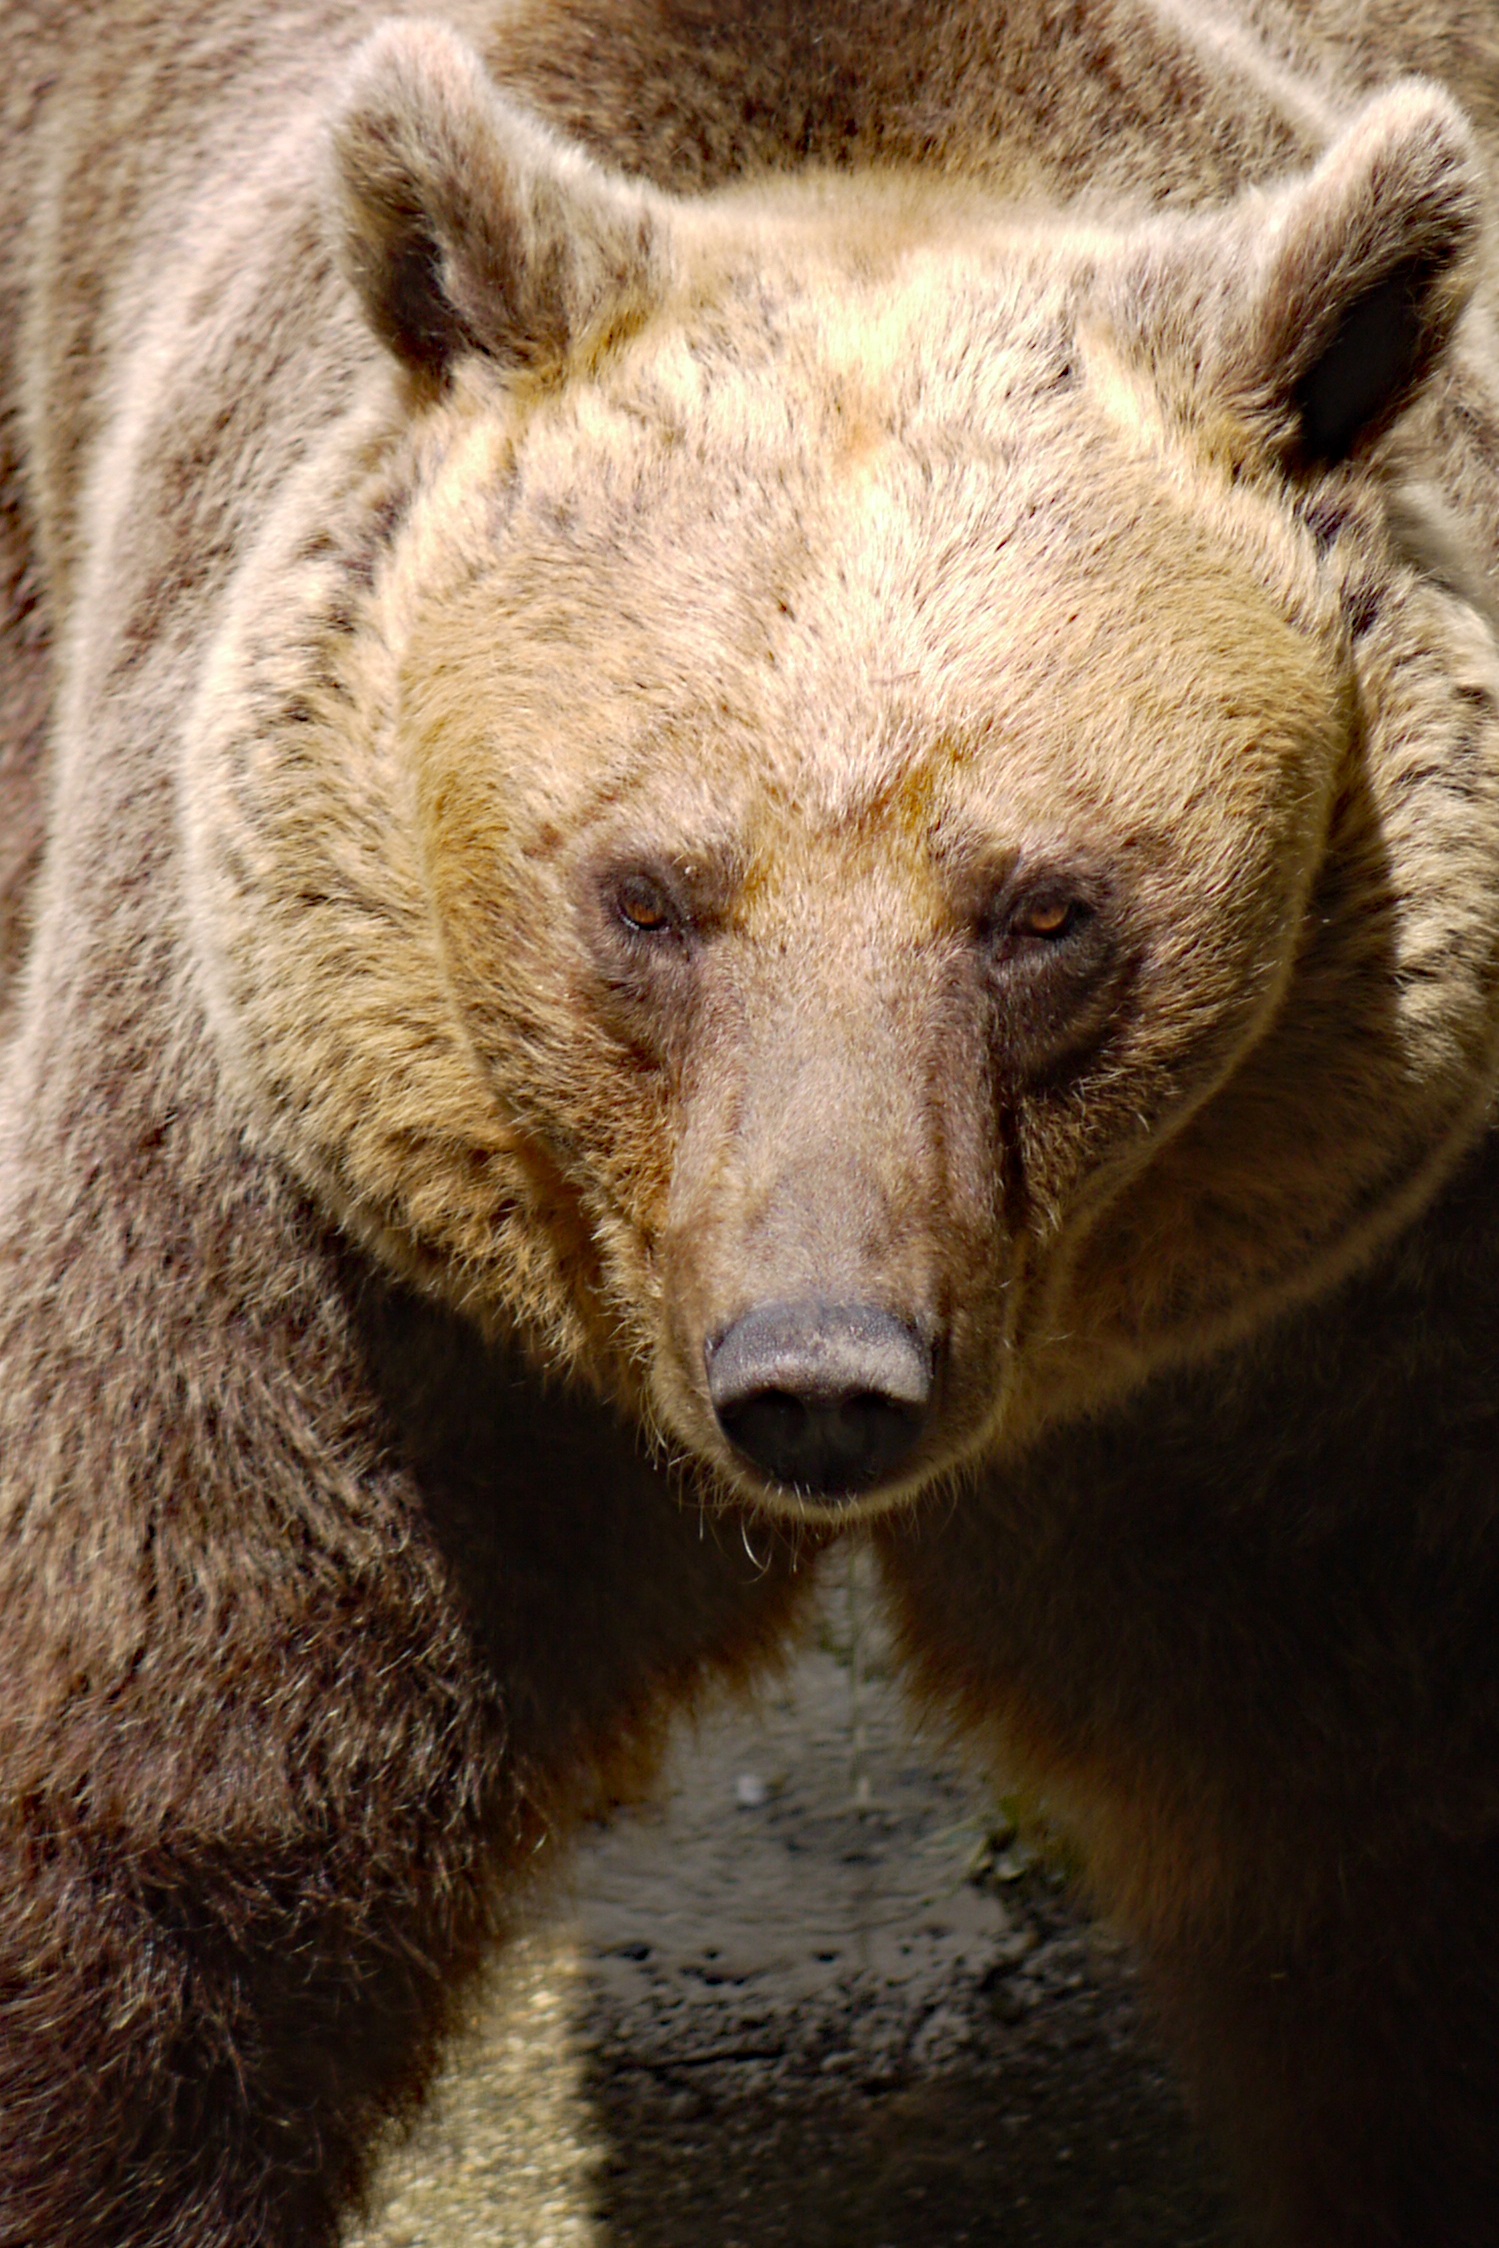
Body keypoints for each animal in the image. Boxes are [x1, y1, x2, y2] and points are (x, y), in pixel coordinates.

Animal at [4, 0, 1499, 2243]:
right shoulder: (324, 1253)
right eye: (646, 892)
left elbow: (1401, 1818)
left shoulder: (1322, 1304)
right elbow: (160, 1795)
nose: (819, 1368)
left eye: (1044, 906)